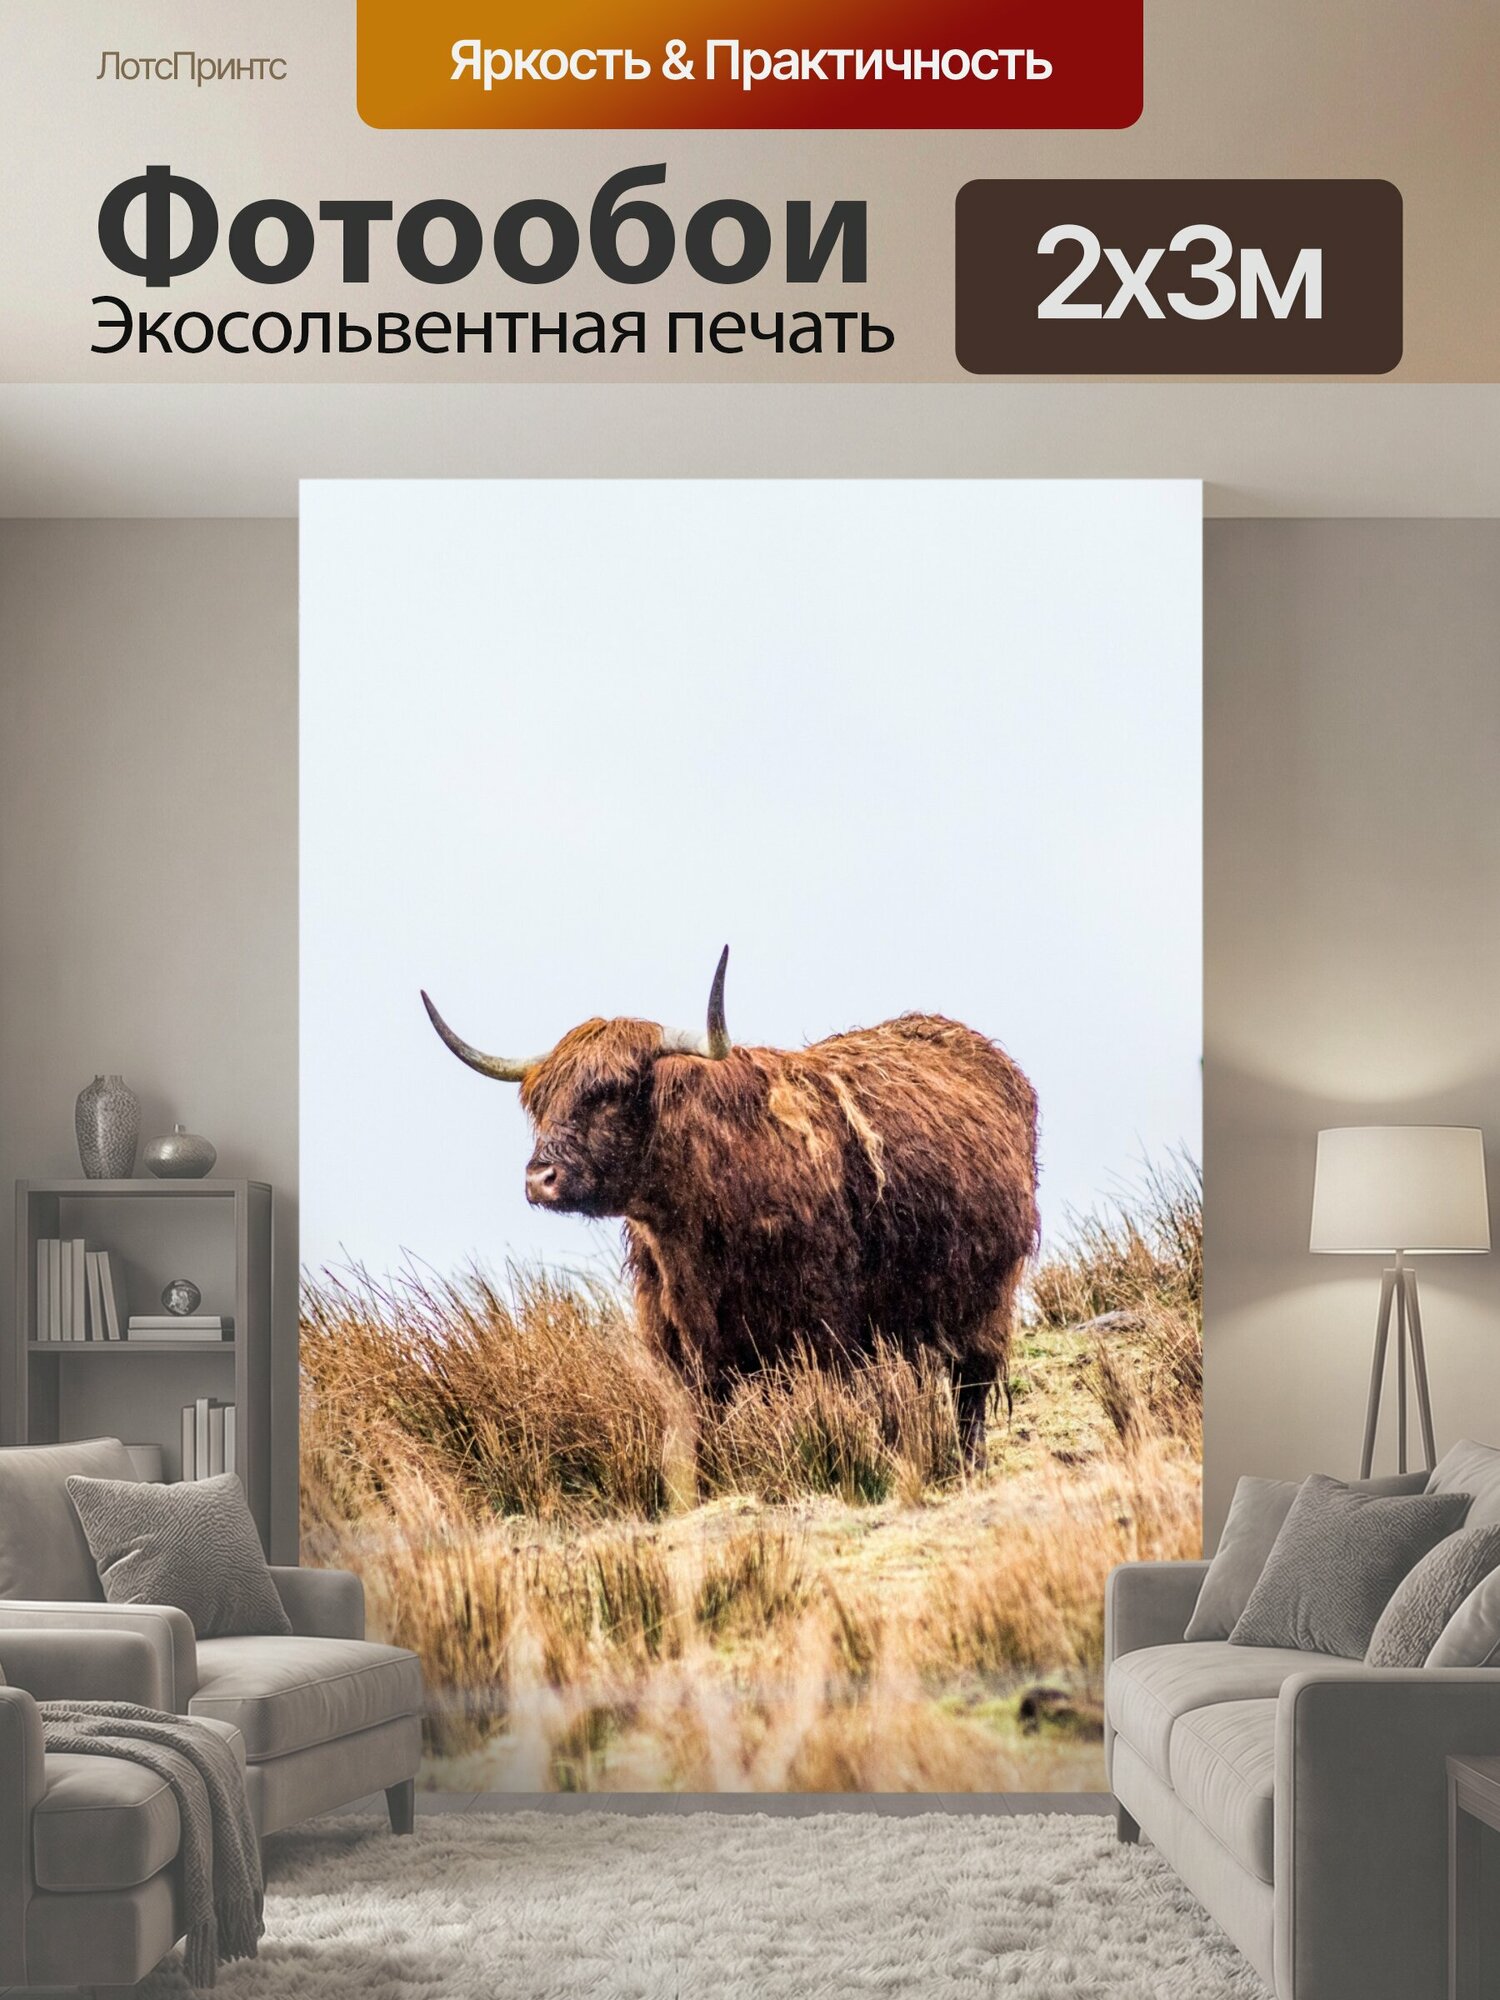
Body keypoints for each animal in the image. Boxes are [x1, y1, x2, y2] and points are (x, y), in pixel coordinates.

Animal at [421, 949, 1039, 1461]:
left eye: (610, 1093)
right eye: (540, 1103)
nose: (539, 1179)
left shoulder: (819, 1333)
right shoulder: (685, 1353)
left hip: (983, 1301)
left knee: (969, 1392)